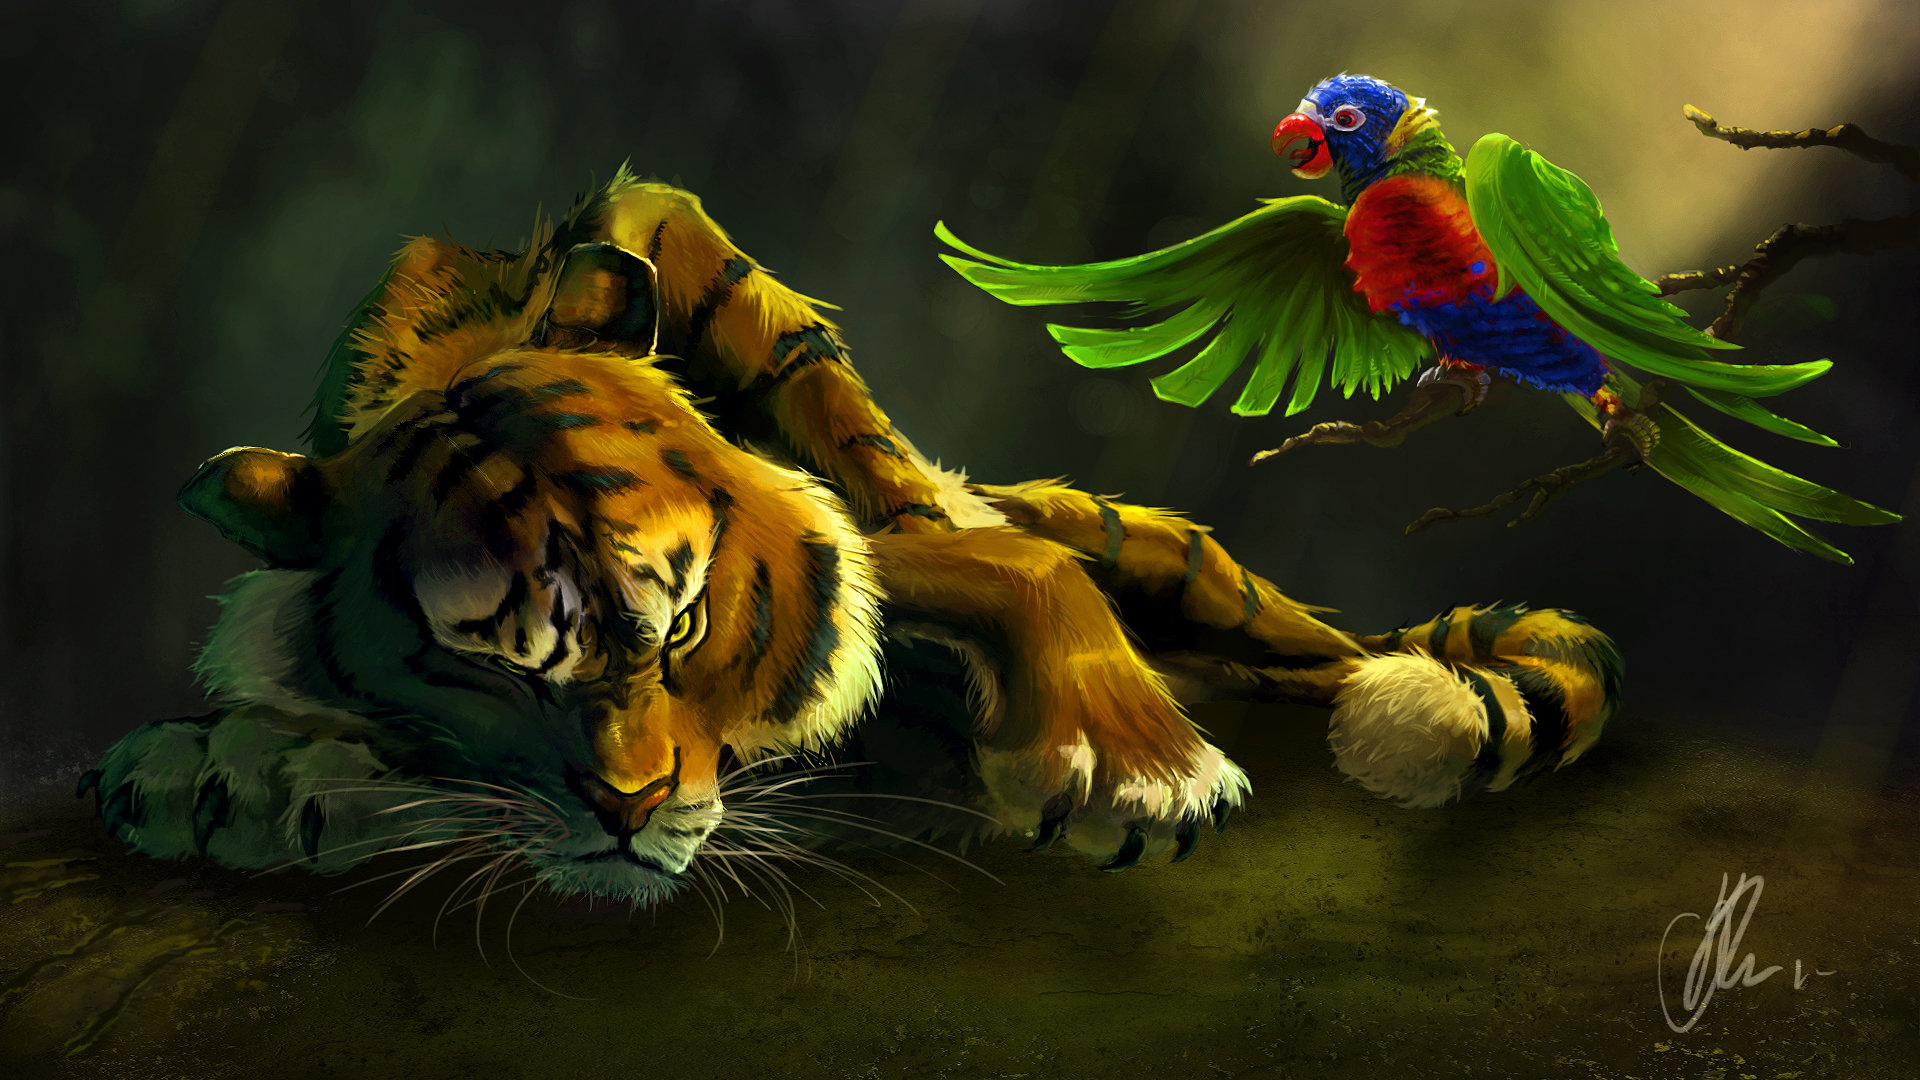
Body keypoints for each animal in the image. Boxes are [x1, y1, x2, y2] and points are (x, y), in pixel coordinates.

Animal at [82, 168, 1624, 907]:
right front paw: (232, 767)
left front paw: (1133, 767)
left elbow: (970, 560)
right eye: (486, 665)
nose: (629, 813)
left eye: (685, 622)